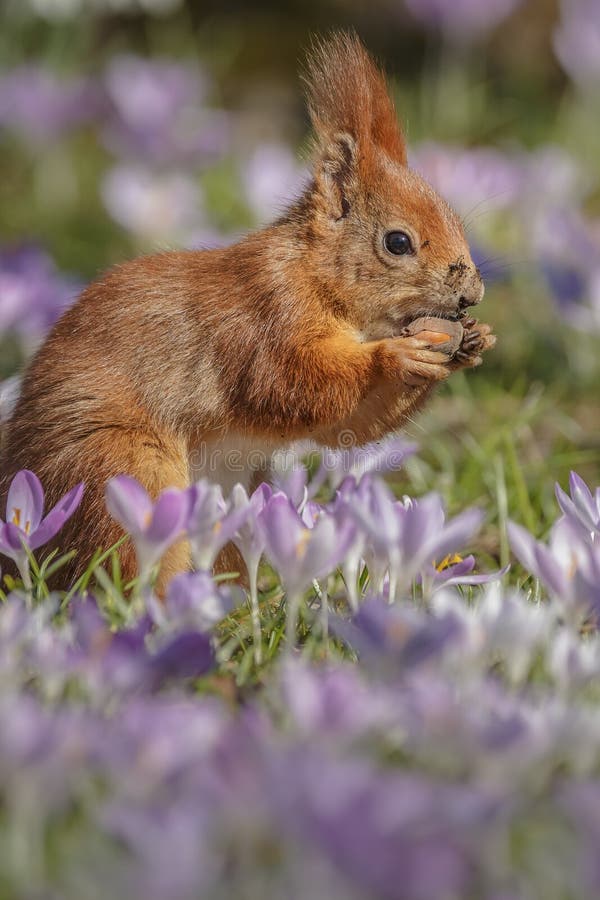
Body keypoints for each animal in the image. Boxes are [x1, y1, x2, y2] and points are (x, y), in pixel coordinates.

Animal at [0, 33, 495, 593]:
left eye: (456, 219)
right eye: (397, 242)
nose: (472, 294)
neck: (316, 278)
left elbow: (345, 427)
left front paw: (473, 341)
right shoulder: (262, 316)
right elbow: (288, 384)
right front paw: (395, 356)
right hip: (117, 472)